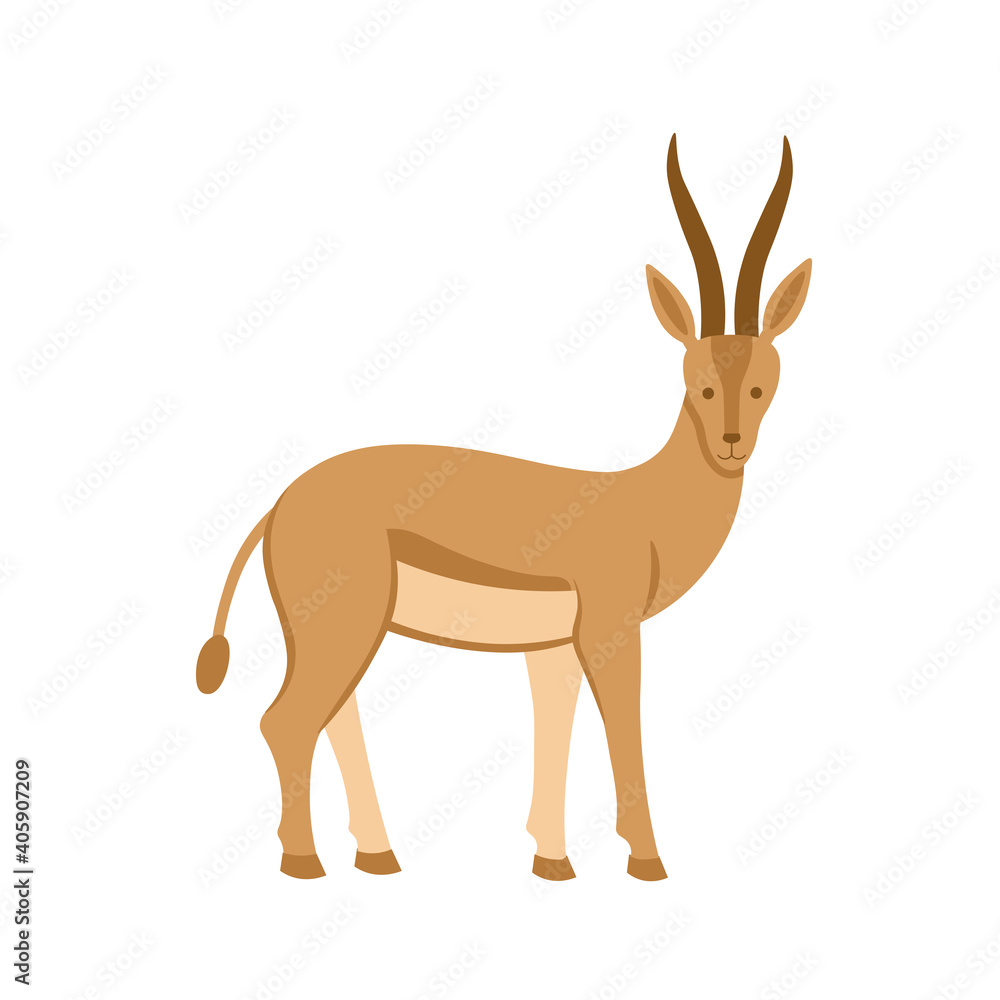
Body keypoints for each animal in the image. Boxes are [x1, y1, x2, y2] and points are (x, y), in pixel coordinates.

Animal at [197, 134, 811, 881]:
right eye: (698, 382)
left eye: (760, 382)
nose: (731, 444)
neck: (643, 504)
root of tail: (280, 504)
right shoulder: (609, 630)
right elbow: (622, 726)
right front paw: (646, 859)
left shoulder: (552, 647)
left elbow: (557, 729)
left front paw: (552, 861)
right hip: (345, 627)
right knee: (285, 720)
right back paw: (305, 861)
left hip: (334, 629)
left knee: (330, 717)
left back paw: (376, 855)